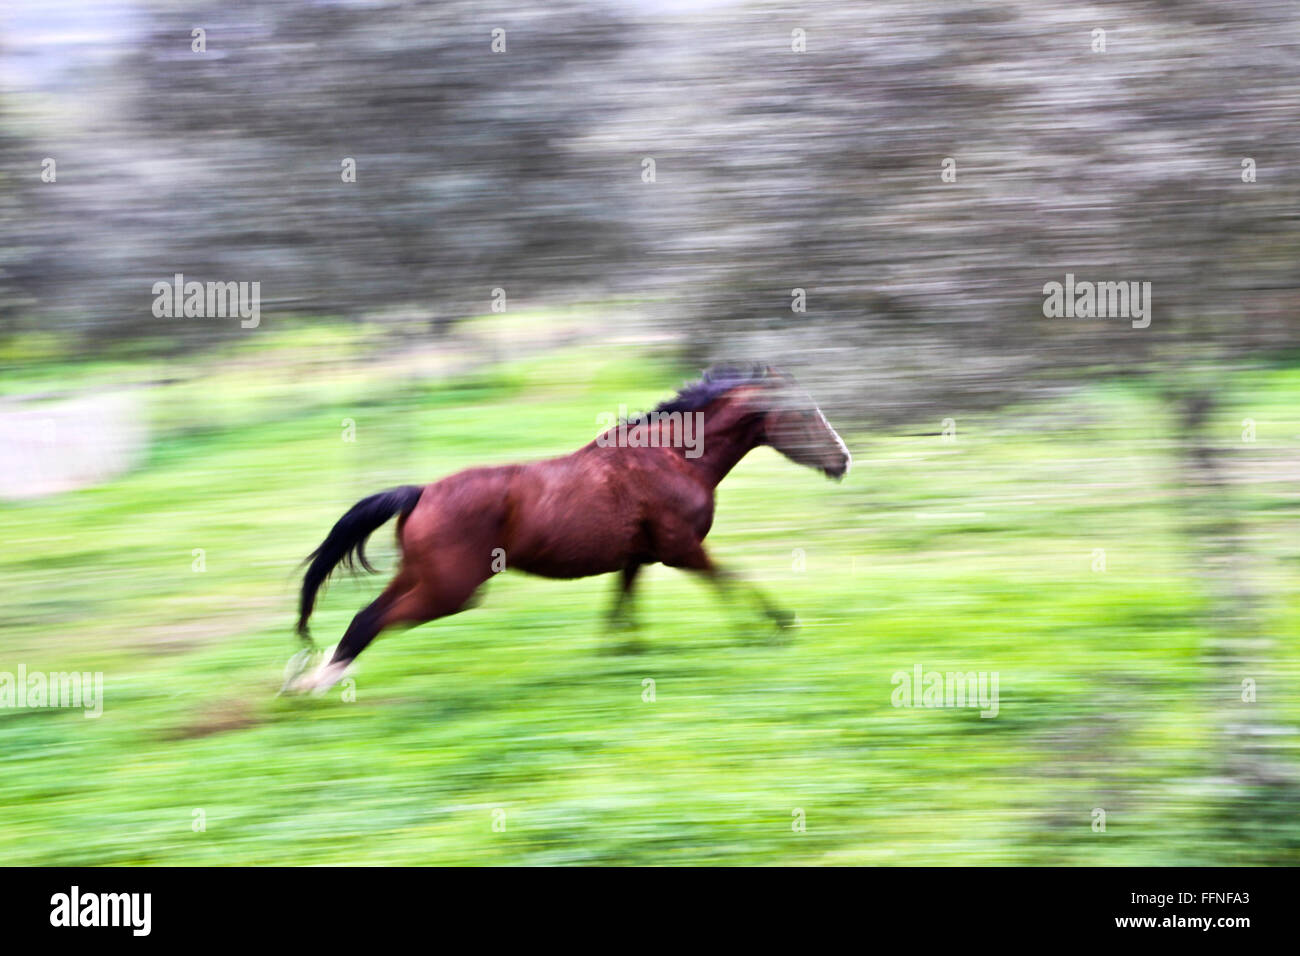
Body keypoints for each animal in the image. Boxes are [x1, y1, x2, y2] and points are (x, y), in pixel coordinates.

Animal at [286, 365, 851, 694]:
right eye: (805, 413)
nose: (843, 460)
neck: (674, 457)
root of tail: (421, 492)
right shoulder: (682, 549)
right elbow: (731, 581)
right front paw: (779, 625)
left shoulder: (637, 558)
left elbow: (620, 610)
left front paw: (620, 657)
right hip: (452, 589)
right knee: (373, 620)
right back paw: (314, 684)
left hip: (419, 576)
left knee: (366, 616)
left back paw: (308, 680)